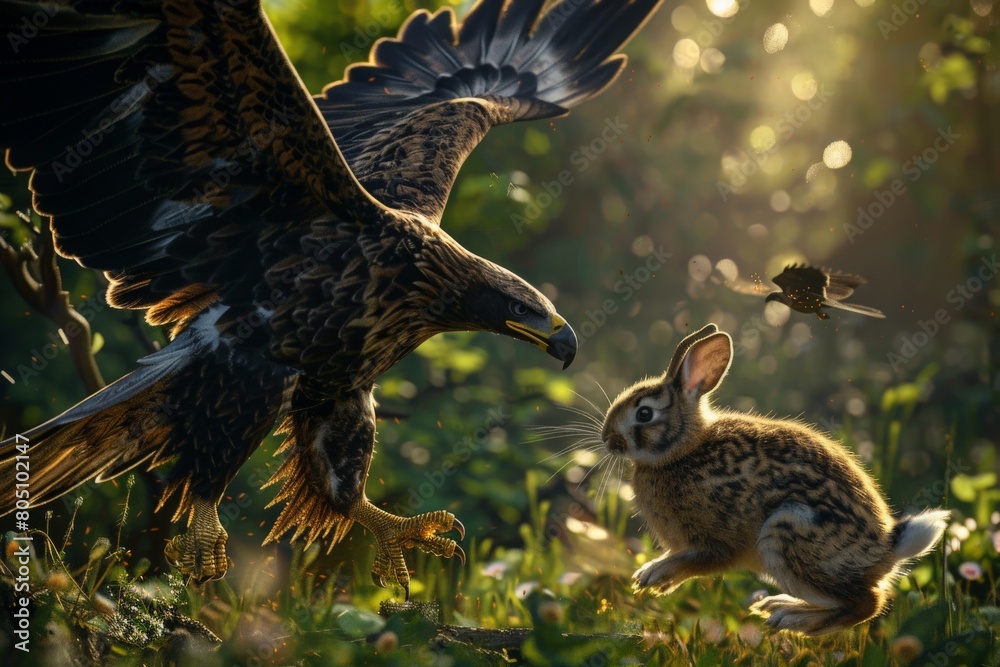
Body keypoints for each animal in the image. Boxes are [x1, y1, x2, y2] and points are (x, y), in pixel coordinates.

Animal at [600, 323, 950, 636]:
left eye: (644, 414)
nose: (607, 439)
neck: (682, 451)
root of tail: (887, 549)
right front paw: (651, 576)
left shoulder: (718, 540)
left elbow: (701, 561)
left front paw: (653, 576)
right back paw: (778, 606)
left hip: (787, 533)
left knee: (866, 603)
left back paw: (792, 619)